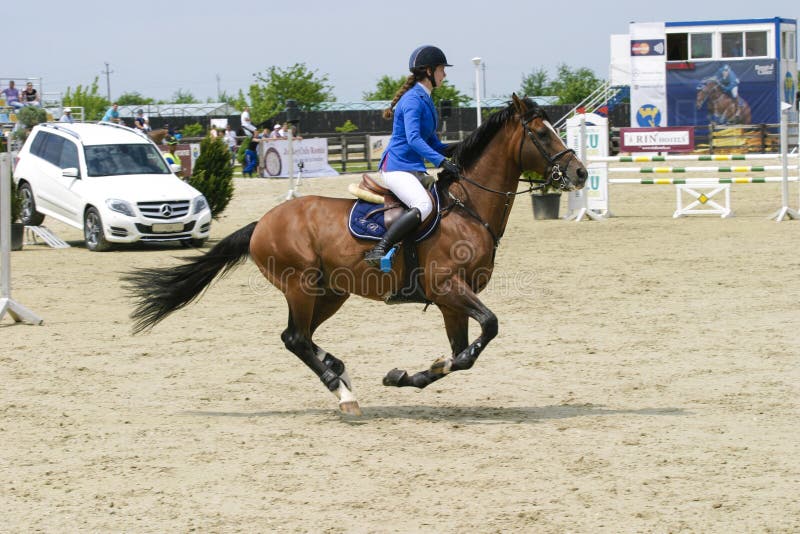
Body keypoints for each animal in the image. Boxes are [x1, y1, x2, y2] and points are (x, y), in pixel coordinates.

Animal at [123, 94, 588, 416]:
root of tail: (262, 222)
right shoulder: (448, 289)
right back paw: (340, 388)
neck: (468, 208)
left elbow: (459, 356)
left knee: (301, 337)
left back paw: (340, 370)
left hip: (331, 293)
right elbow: (488, 327)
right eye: (542, 133)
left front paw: (408, 375)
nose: (581, 173)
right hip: (301, 286)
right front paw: (410, 373)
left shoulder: (450, 302)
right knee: (294, 338)